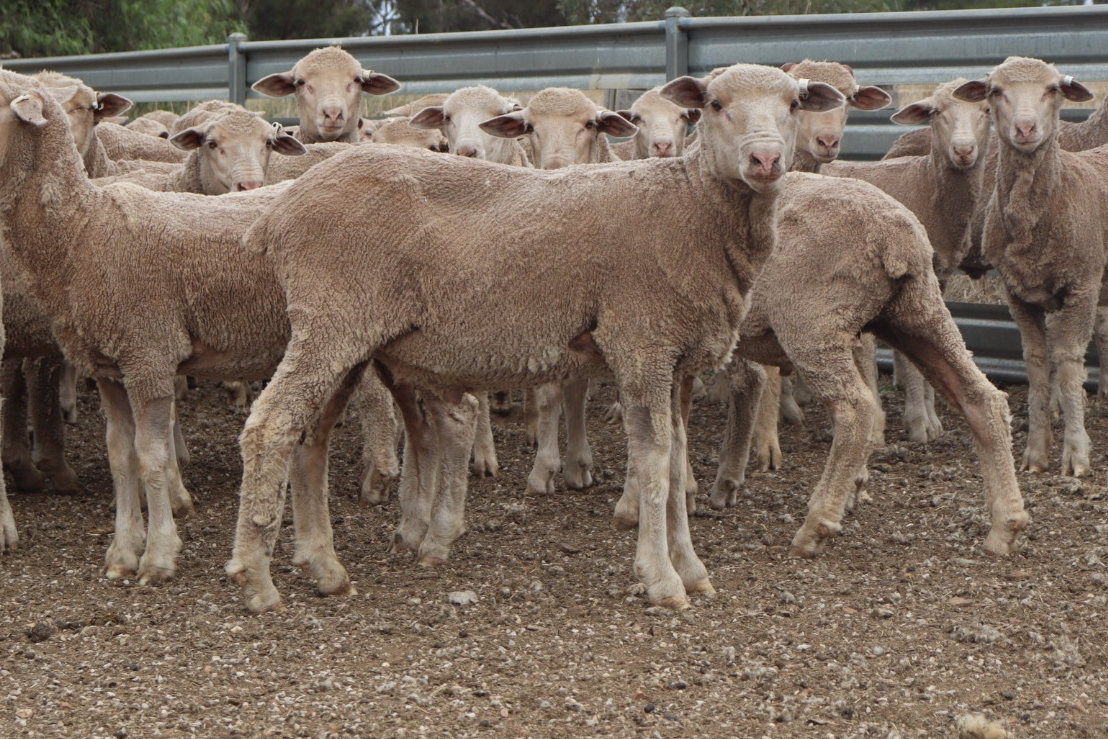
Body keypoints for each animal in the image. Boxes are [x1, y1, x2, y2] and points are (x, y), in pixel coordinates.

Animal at [479, 87, 638, 495]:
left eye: (591, 124)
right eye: (530, 126)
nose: (555, 169)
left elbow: (577, 390)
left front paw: (578, 465)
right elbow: (552, 393)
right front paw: (545, 469)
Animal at [669, 172, 1027, 558]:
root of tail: (893, 233)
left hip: (812, 322)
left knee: (856, 409)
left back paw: (815, 526)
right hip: (918, 312)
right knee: (981, 399)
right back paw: (1005, 526)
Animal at [821, 79, 992, 443]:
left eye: (987, 110)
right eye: (937, 112)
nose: (963, 150)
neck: (926, 184)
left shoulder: (939, 275)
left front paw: (932, 416)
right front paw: (919, 422)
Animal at [953, 57, 1108, 476]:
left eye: (1052, 89)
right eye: (995, 91)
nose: (1025, 129)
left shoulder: (1082, 286)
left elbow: (1069, 365)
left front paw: (1075, 455)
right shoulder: (1018, 292)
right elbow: (1037, 364)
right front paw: (1036, 452)